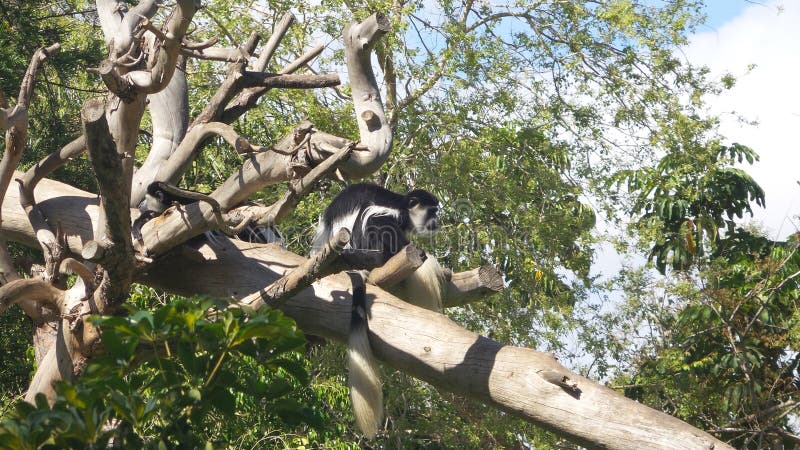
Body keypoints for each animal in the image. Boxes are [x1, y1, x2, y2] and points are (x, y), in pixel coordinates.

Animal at [311, 183, 447, 438]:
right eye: (432, 211)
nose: (437, 222)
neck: (402, 206)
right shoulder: (390, 213)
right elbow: (379, 221)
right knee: (373, 223)